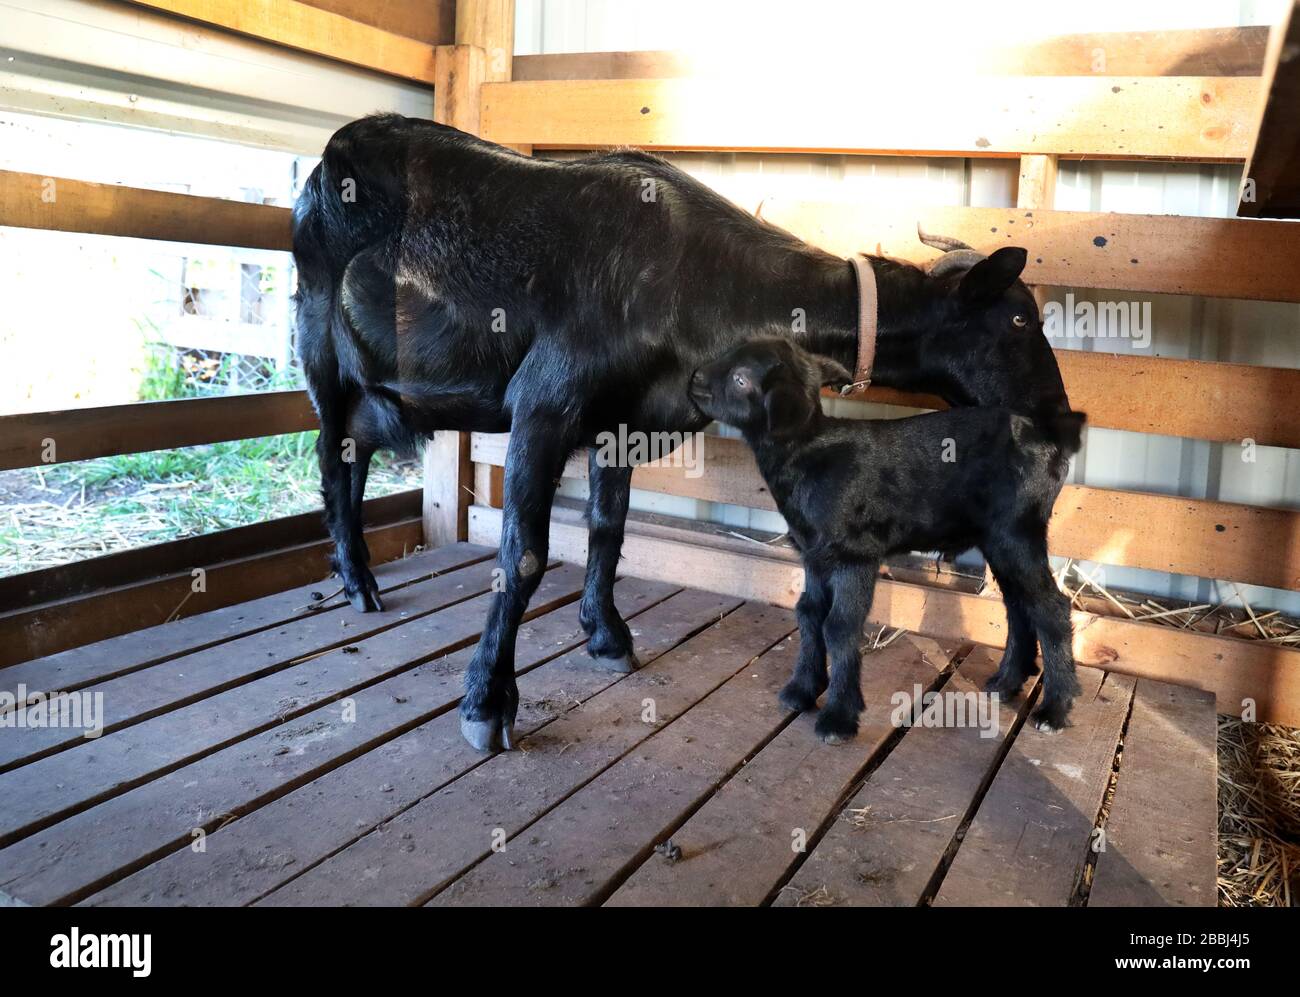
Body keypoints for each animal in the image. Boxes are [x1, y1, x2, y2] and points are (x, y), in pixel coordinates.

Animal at [688, 337, 1085, 741]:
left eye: (741, 379)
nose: (695, 379)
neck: (807, 453)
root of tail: (1050, 440)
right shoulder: (814, 554)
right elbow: (809, 612)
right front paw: (801, 690)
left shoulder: (855, 554)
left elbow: (840, 626)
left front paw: (838, 717)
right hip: (997, 538)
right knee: (1019, 605)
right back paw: (1006, 683)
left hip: (1018, 530)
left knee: (1051, 607)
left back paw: (1054, 708)